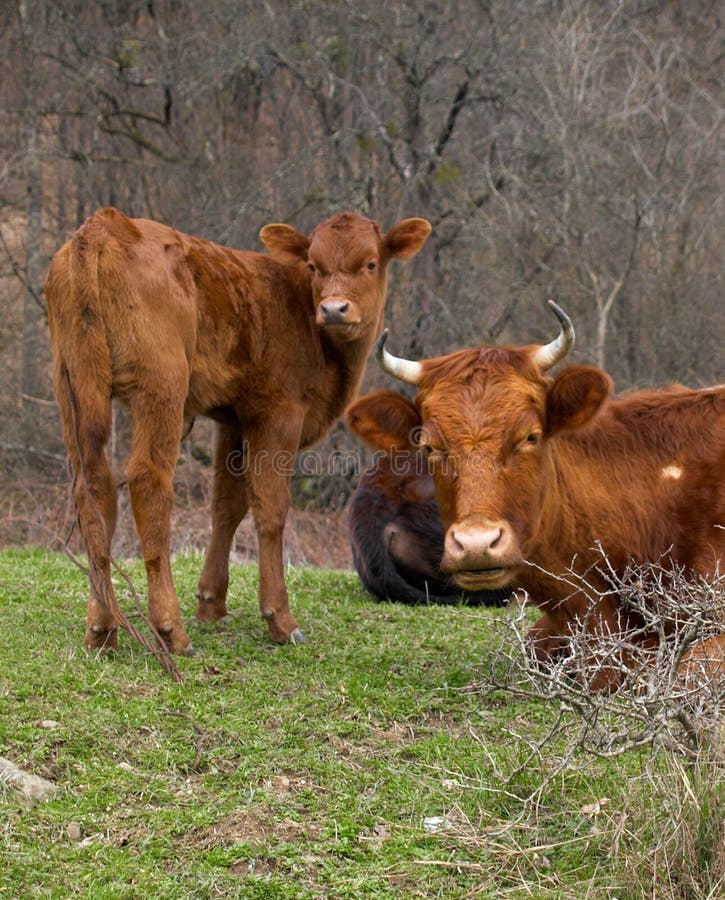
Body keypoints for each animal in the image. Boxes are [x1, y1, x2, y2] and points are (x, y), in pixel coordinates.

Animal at [46, 207, 431, 655]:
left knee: (93, 487)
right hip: (162, 384)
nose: (335, 309)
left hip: (73, 381)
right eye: (313, 266)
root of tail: (104, 225)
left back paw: (101, 627)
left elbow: (228, 504)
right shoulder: (278, 412)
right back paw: (170, 629)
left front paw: (211, 602)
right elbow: (270, 507)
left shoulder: (232, 419)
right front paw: (279, 618)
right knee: (147, 482)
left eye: (370, 263)